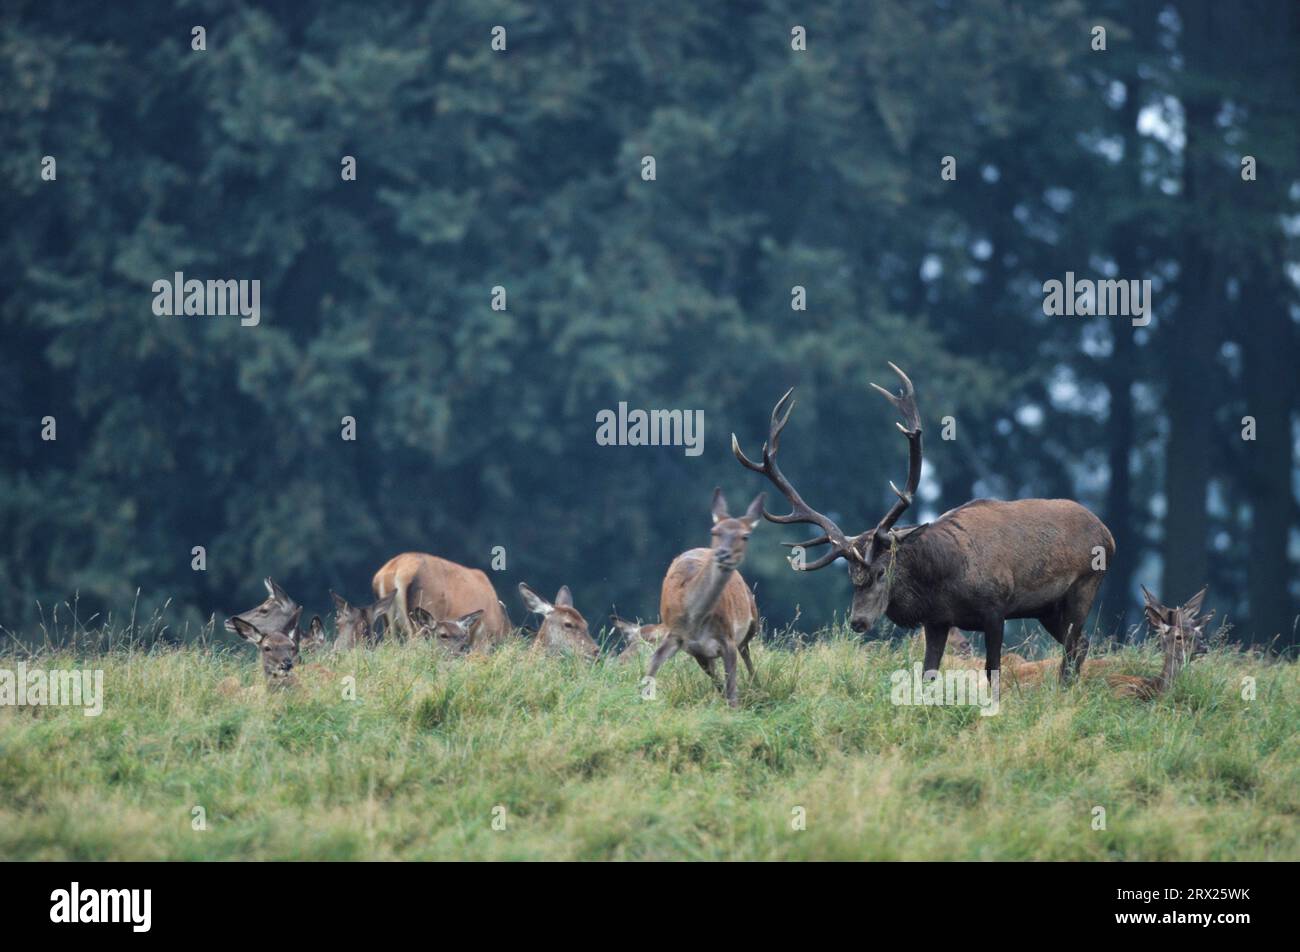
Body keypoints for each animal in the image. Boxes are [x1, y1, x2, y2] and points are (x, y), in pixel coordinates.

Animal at [645, 489, 764, 707]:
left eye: (745, 536)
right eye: (714, 532)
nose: (723, 554)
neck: (694, 620)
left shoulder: (727, 638)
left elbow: (732, 691)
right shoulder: (680, 638)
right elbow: (653, 662)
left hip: (752, 621)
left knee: (746, 654)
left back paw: (757, 687)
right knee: (717, 675)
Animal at [733, 363, 1115, 684]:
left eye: (881, 572)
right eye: (850, 576)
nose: (858, 621)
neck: (947, 579)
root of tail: (1108, 534)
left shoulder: (996, 609)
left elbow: (993, 670)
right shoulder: (937, 620)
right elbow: (928, 673)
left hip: (1084, 586)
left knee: (1074, 644)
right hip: (1046, 609)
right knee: (1079, 644)